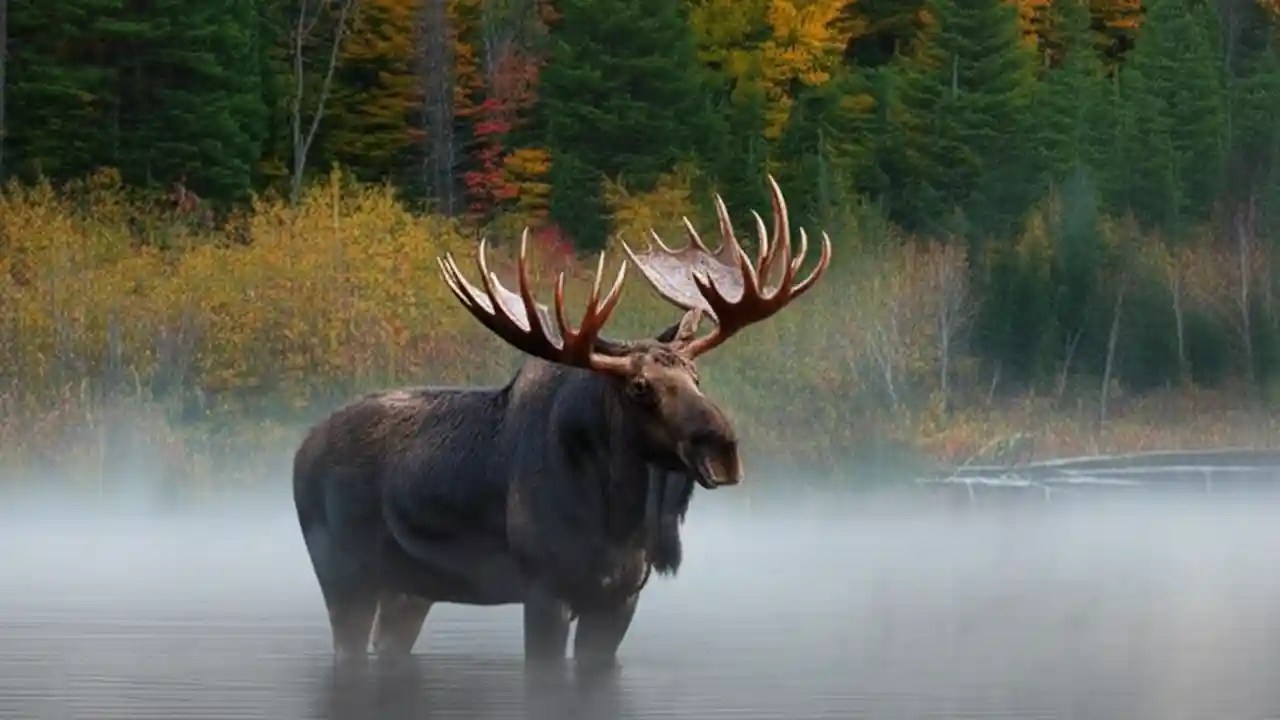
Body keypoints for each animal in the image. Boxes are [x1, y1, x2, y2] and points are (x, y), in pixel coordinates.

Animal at [291, 176, 831, 672]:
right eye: (640, 387)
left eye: (696, 375)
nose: (722, 449)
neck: (616, 519)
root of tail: (301, 450)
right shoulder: (544, 591)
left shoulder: (619, 600)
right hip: (343, 573)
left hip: (410, 589)